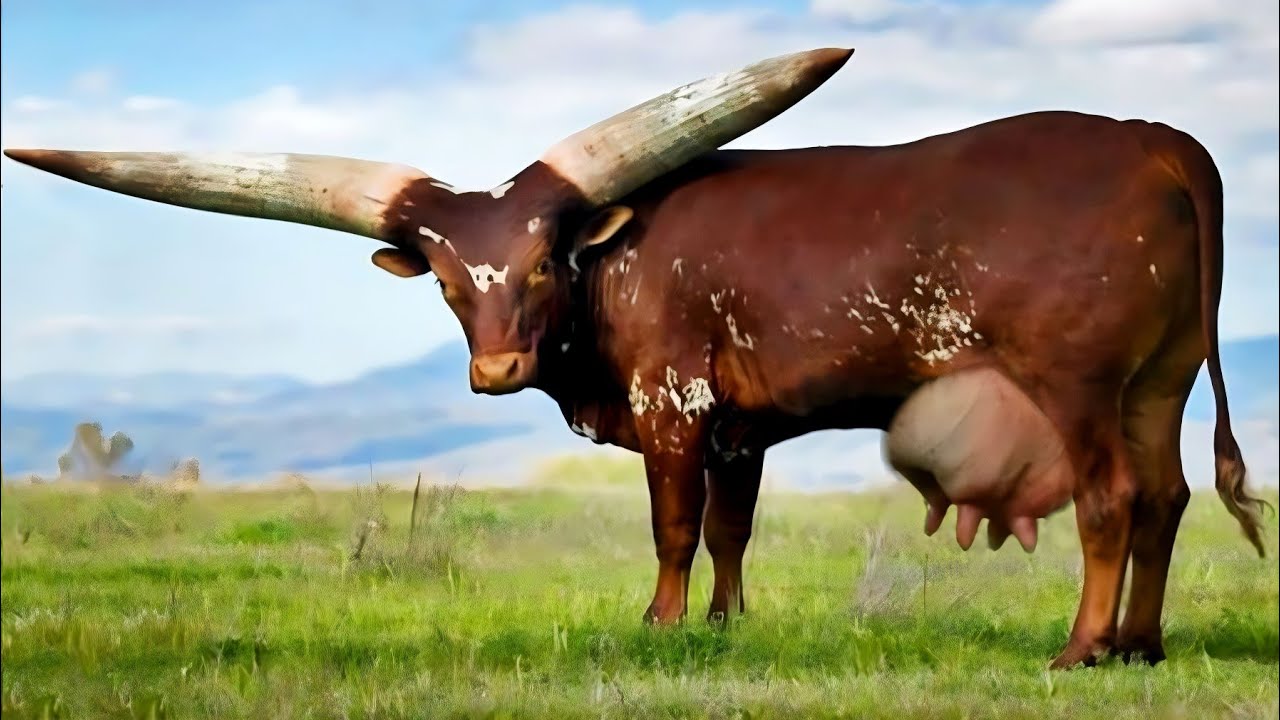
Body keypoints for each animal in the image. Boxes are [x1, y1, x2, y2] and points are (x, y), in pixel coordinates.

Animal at [5, 47, 1270, 670]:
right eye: (451, 280)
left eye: (544, 259)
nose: (493, 374)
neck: (608, 278)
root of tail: (1157, 141)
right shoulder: (743, 429)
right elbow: (730, 529)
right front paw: (723, 626)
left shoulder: (674, 407)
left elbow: (671, 525)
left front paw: (663, 626)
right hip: (1156, 380)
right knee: (1162, 498)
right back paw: (1140, 648)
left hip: (1077, 384)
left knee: (1109, 500)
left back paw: (1079, 650)